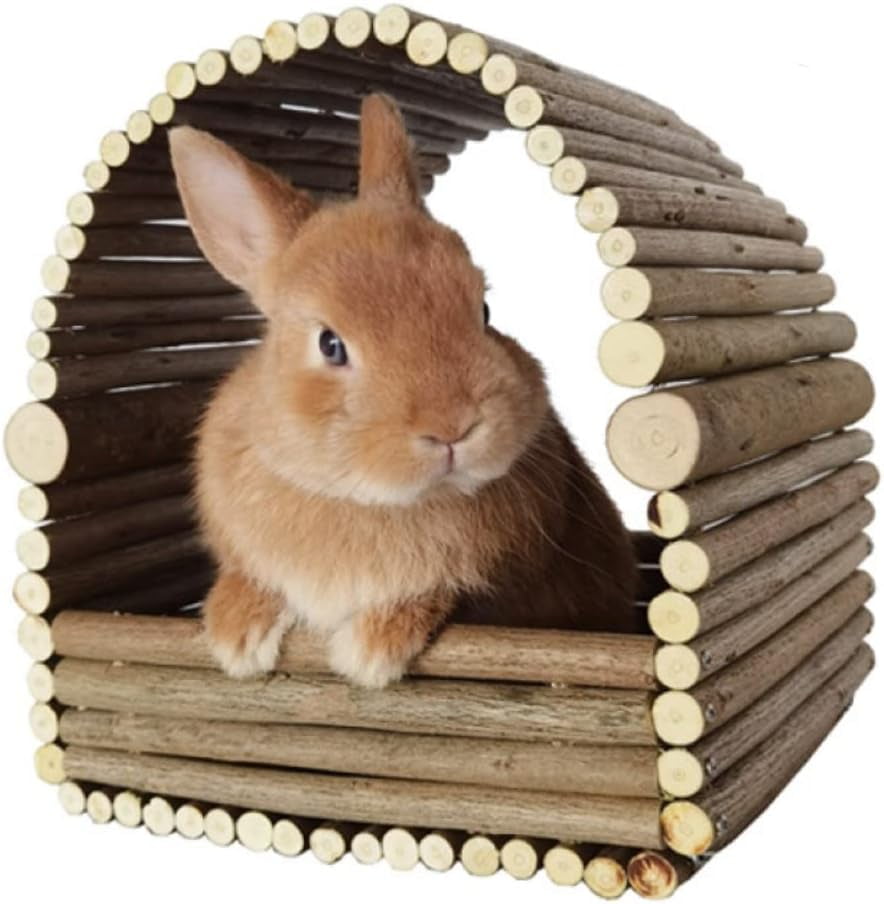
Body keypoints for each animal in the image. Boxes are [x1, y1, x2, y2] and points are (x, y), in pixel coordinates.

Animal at [168, 93, 638, 688]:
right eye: (330, 344)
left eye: (484, 311)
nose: (452, 427)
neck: (367, 500)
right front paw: (236, 637)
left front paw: (372, 652)